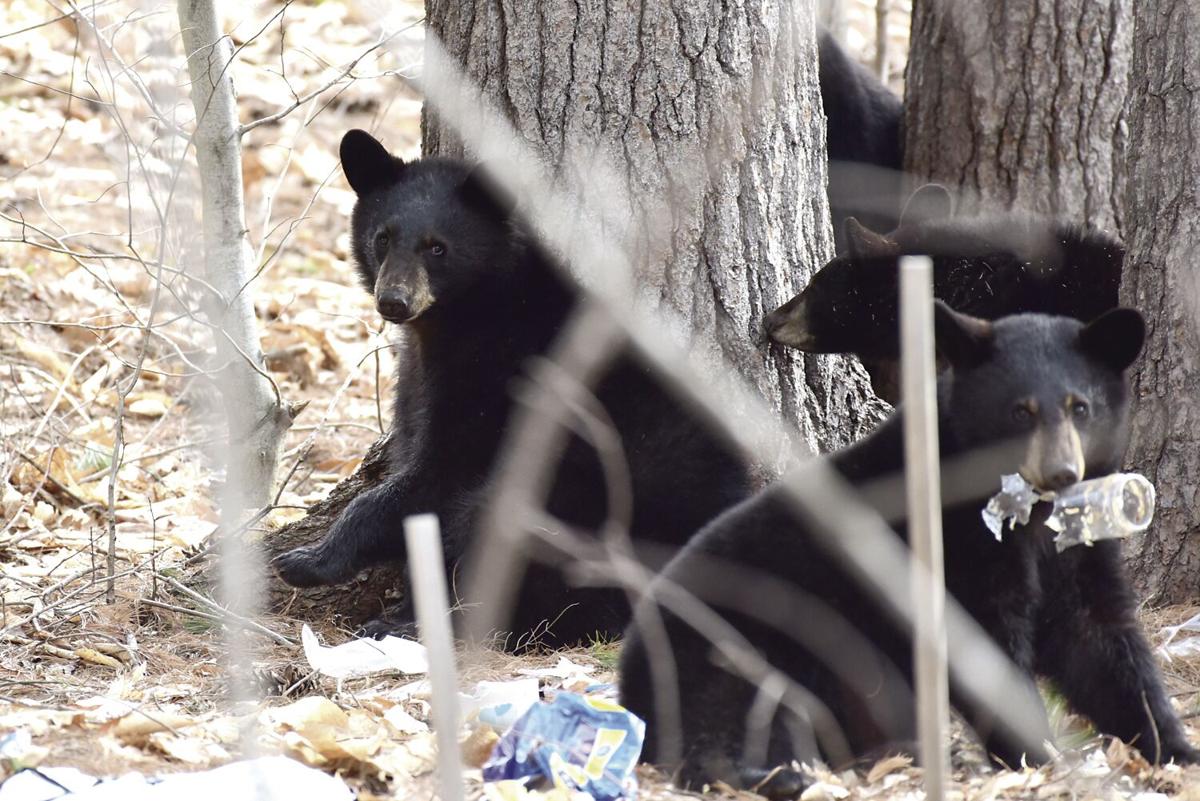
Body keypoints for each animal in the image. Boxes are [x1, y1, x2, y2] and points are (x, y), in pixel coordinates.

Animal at [271, 129, 751, 646]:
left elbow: (435, 475)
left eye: (437, 248)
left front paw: (305, 560)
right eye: (382, 237)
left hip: (578, 499)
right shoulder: (420, 380)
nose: (394, 301)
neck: (466, 314)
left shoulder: (499, 381)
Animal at [619, 303, 1197, 799]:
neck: (1027, 517)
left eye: (1081, 407)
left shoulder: (1074, 550)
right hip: (736, 637)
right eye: (1020, 411)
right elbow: (986, 645)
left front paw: (1174, 749)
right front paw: (1041, 757)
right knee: (729, 714)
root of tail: (629, 677)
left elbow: (1100, 639)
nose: (1062, 473)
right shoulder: (954, 547)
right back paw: (777, 775)